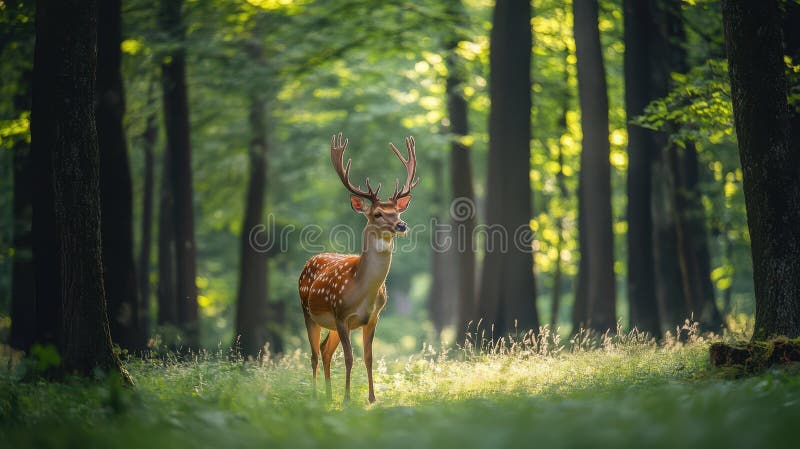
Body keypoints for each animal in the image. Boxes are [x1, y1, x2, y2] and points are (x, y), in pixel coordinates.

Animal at [298, 132, 419, 404]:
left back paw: (328, 396)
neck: (362, 290)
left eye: (397, 212)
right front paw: (347, 399)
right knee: (313, 354)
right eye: (377, 214)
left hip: (330, 324)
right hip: (307, 311)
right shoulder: (341, 314)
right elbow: (350, 358)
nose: (402, 225)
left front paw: (372, 399)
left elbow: (368, 357)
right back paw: (315, 396)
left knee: (324, 350)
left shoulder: (373, 317)